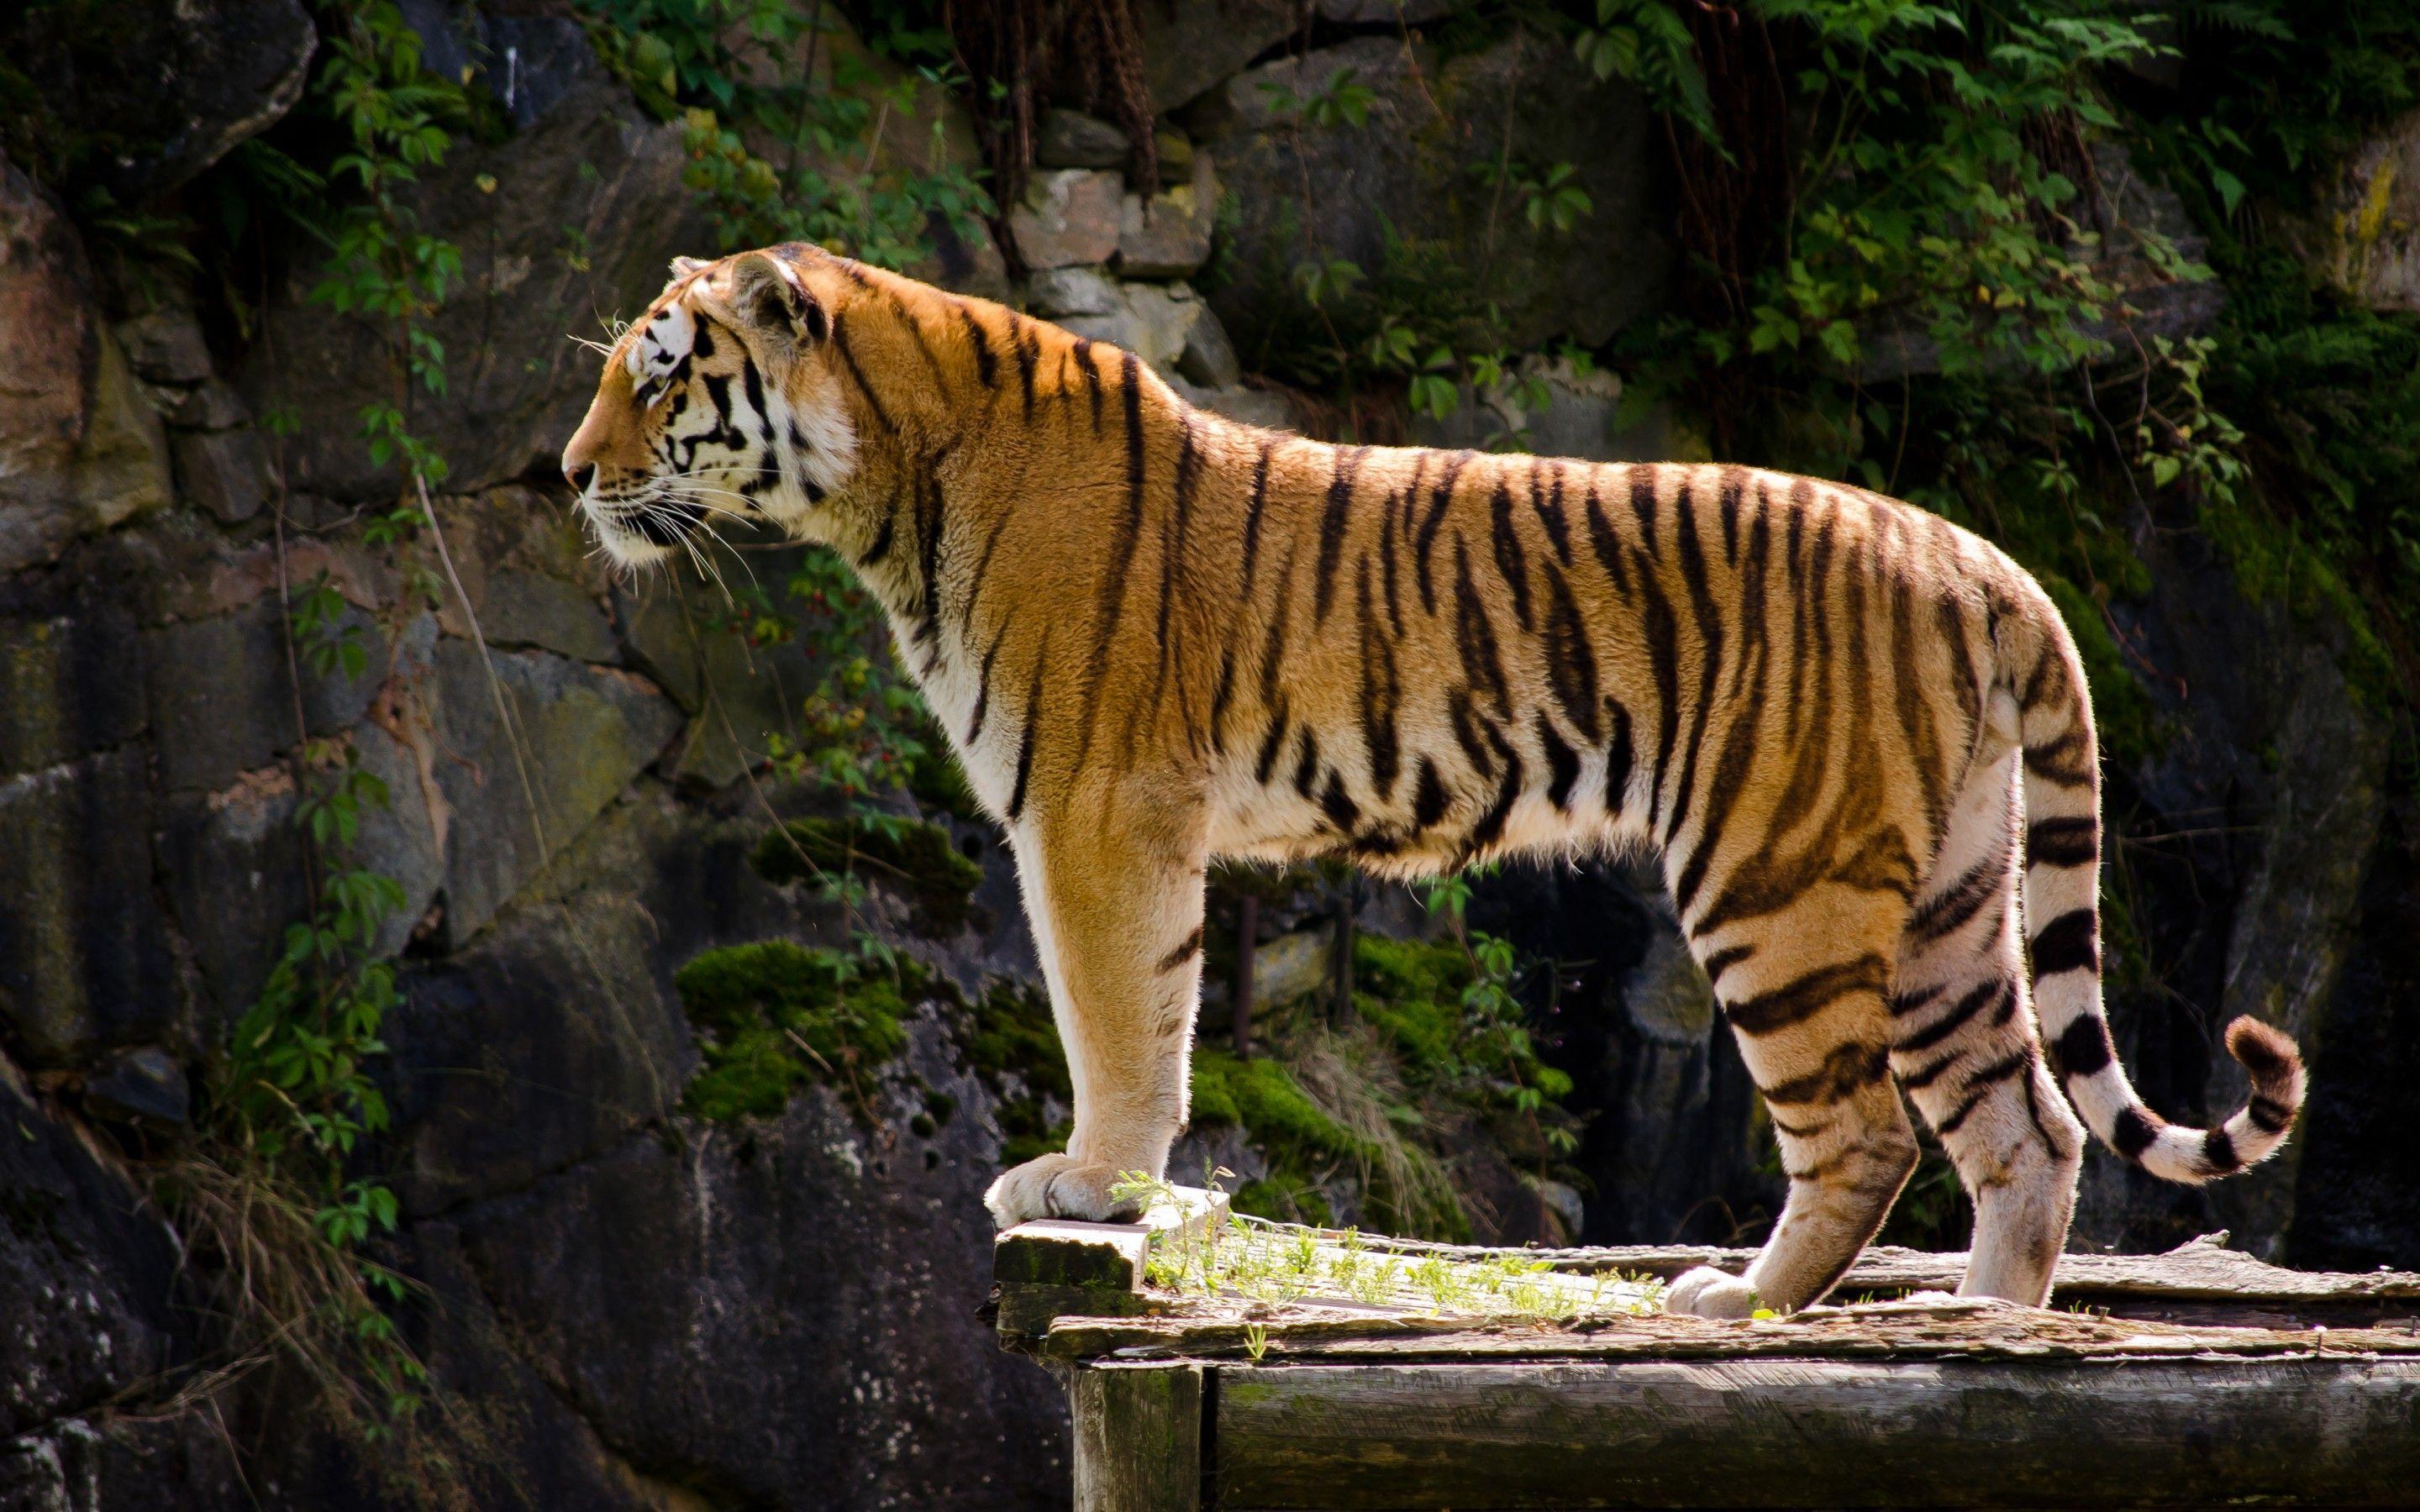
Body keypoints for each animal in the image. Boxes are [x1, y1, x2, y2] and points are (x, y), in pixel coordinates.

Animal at [559, 243, 2306, 1317]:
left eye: (657, 380)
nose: (569, 475)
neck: (890, 484)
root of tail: (1977, 557)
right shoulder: (1125, 819)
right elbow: (1157, 1008)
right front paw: (1118, 1179)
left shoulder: (1095, 811)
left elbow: (1116, 1013)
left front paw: (1092, 1183)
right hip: (1949, 895)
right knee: (2031, 1130)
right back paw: (1988, 1324)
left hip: (1780, 882)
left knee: (1873, 1134)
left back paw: (1741, 1301)